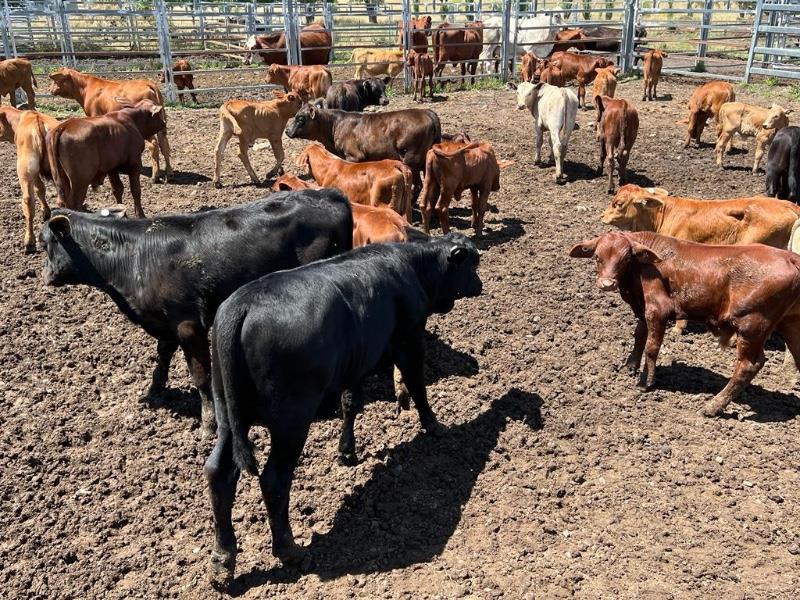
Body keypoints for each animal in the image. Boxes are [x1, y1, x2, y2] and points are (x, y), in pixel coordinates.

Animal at [0, 106, 58, 252]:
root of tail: (38, 123)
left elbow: (39, 190)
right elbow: (41, 189)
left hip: (25, 172)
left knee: (28, 201)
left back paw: (29, 241)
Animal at [39, 189, 353, 438]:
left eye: (44, 243)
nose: (45, 276)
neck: (134, 257)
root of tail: (328, 194)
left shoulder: (188, 324)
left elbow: (200, 375)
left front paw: (209, 423)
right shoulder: (165, 323)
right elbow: (162, 357)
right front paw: (154, 390)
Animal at [205, 233, 482, 588]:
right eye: (473, 262)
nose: (479, 284)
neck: (412, 266)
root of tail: (243, 304)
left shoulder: (357, 358)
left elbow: (350, 402)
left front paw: (346, 451)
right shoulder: (408, 338)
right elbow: (416, 383)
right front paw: (433, 424)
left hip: (227, 417)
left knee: (220, 473)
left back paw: (222, 561)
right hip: (291, 422)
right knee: (274, 480)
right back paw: (290, 551)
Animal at [285, 103, 441, 198]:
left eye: (300, 118)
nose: (287, 131)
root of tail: (426, 112)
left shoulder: (353, 156)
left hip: (412, 158)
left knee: (419, 185)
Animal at [569, 231, 800, 417]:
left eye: (626, 258)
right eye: (597, 257)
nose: (607, 284)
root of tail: (788, 256)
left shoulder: (657, 310)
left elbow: (652, 346)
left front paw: (646, 382)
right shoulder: (643, 309)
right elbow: (639, 335)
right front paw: (630, 365)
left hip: (752, 325)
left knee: (748, 366)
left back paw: (713, 406)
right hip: (790, 322)